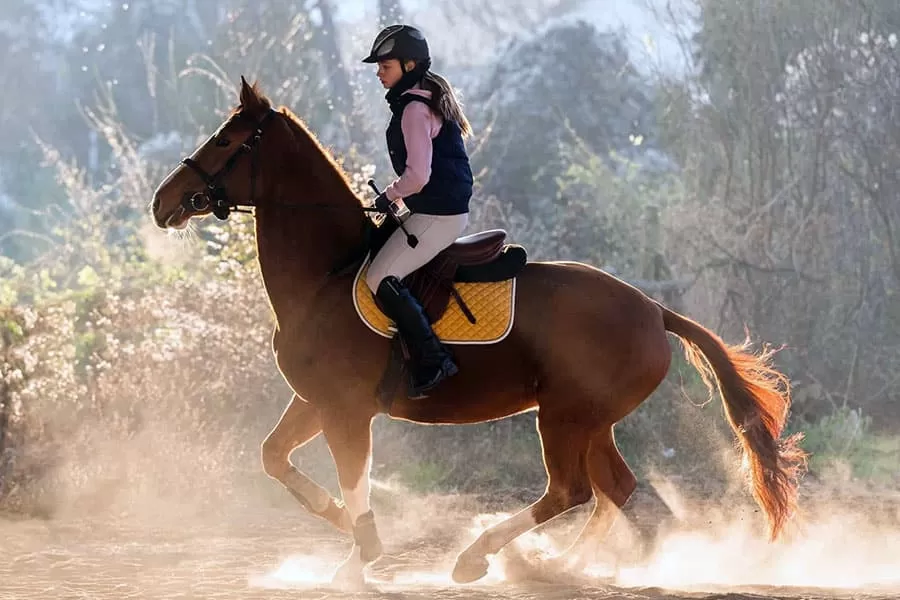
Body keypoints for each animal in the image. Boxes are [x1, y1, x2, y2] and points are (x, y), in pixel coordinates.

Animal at [151, 77, 804, 584]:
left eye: (226, 140)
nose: (163, 202)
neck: (326, 275)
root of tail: (652, 308)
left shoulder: (346, 411)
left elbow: (353, 477)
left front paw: (361, 554)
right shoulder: (316, 401)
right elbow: (274, 458)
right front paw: (347, 532)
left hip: (565, 416)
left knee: (572, 492)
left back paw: (480, 557)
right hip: (593, 421)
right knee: (618, 494)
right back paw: (562, 567)